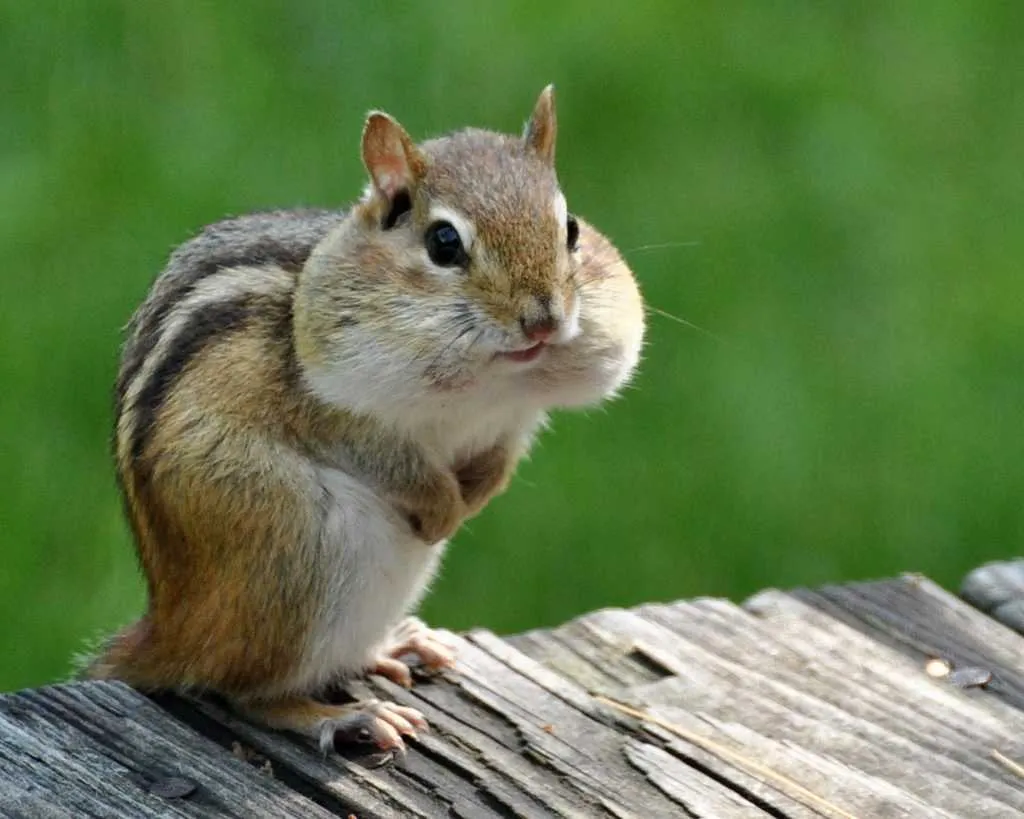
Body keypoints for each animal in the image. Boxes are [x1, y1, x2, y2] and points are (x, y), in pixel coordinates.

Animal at [85, 85, 645, 754]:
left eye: (571, 228)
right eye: (444, 243)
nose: (543, 321)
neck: (491, 383)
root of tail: (172, 625)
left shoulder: (514, 420)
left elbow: (501, 461)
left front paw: (472, 500)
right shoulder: (334, 413)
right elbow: (394, 463)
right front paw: (444, 510)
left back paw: (396, 646)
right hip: (294, 554)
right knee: (244, 689)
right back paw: (343, 716)